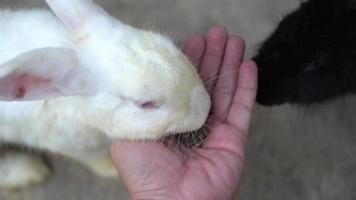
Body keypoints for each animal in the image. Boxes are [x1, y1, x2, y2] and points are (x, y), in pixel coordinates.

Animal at [0, 0, 211, 188]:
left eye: (167, 43)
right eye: (145, 104)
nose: (205, 108)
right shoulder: (74, 147)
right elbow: (98, 161)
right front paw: (113, 170)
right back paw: (30, 171)